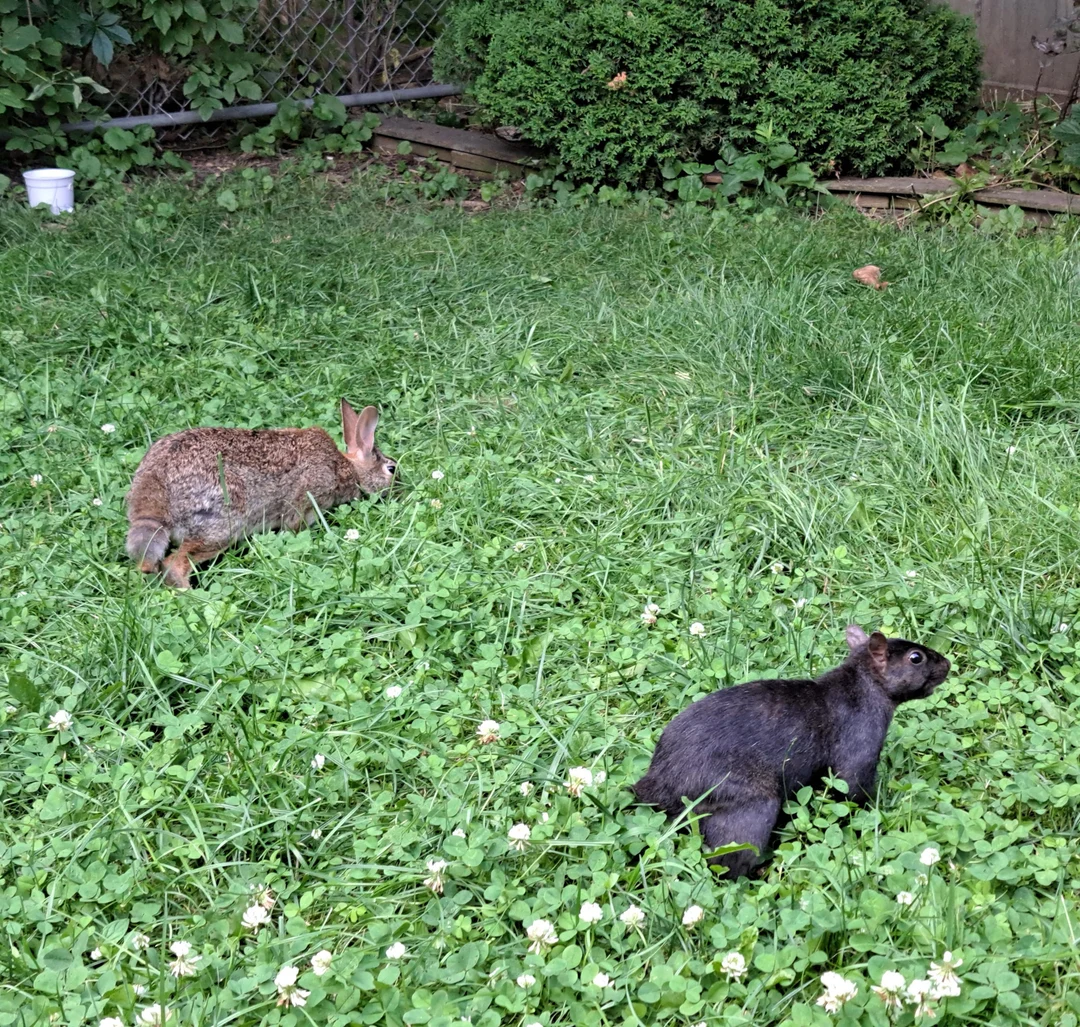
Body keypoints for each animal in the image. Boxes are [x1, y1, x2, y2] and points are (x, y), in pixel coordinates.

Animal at [631, 625, 951, 879]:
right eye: (916, 657)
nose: (947, 663)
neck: (862, 689)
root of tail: (658, 782)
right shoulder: (857, 744)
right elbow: (853, 789)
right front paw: (878, 815)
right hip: (747, 807)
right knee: (727, 863)